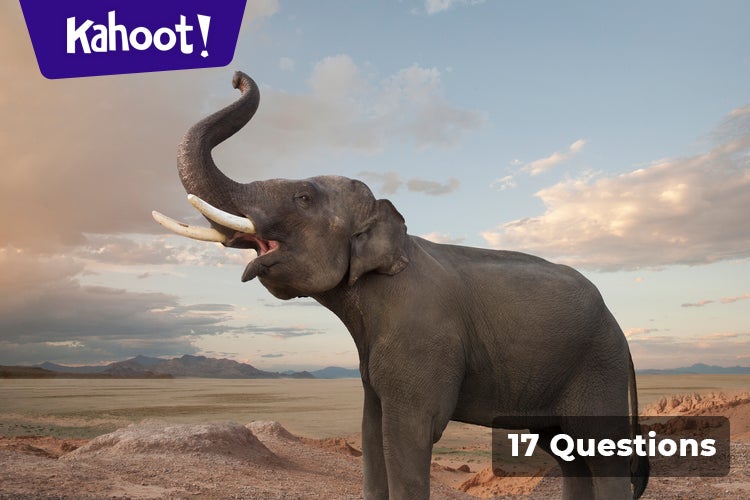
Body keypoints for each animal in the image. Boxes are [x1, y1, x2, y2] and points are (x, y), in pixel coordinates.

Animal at [153, 71, 649, 500]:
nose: (235, 77)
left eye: (303, 198)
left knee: (597, 455)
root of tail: (620, 333)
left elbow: (407, 434)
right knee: (569, 456)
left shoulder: (420, 340)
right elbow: (373, 432)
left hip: (596, 366)